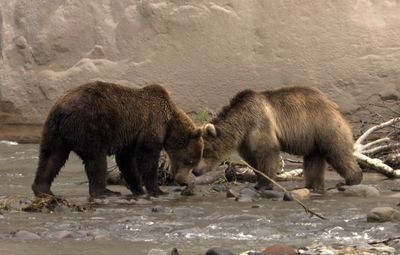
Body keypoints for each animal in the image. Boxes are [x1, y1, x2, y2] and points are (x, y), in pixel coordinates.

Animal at [32, 80, 203, 198]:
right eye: (190, 161)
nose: (184, 181)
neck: (169, 124)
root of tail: (61, 109)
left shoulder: (130, 137)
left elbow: (127, 162)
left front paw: (138, 189)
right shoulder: (151, 126)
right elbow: (147, 158)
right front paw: (157, 190)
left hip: (54, 131)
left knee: (50, 158)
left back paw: (43, 190)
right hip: (88, 125)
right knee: (96, 159)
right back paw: (105, 191)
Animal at [195, 85, 364, 191]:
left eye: (205, 151)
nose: (195, 171)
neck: (243, 123)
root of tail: (334, 105)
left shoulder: (260, 123)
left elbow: (267, 152)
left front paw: (265, 184)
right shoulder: (246, 140)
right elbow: (252, 159)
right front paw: (258, 181)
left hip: (324, 126)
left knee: (338, 152)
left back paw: (352, 180)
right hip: (312, 138)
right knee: (313, 160)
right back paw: (312, 185)